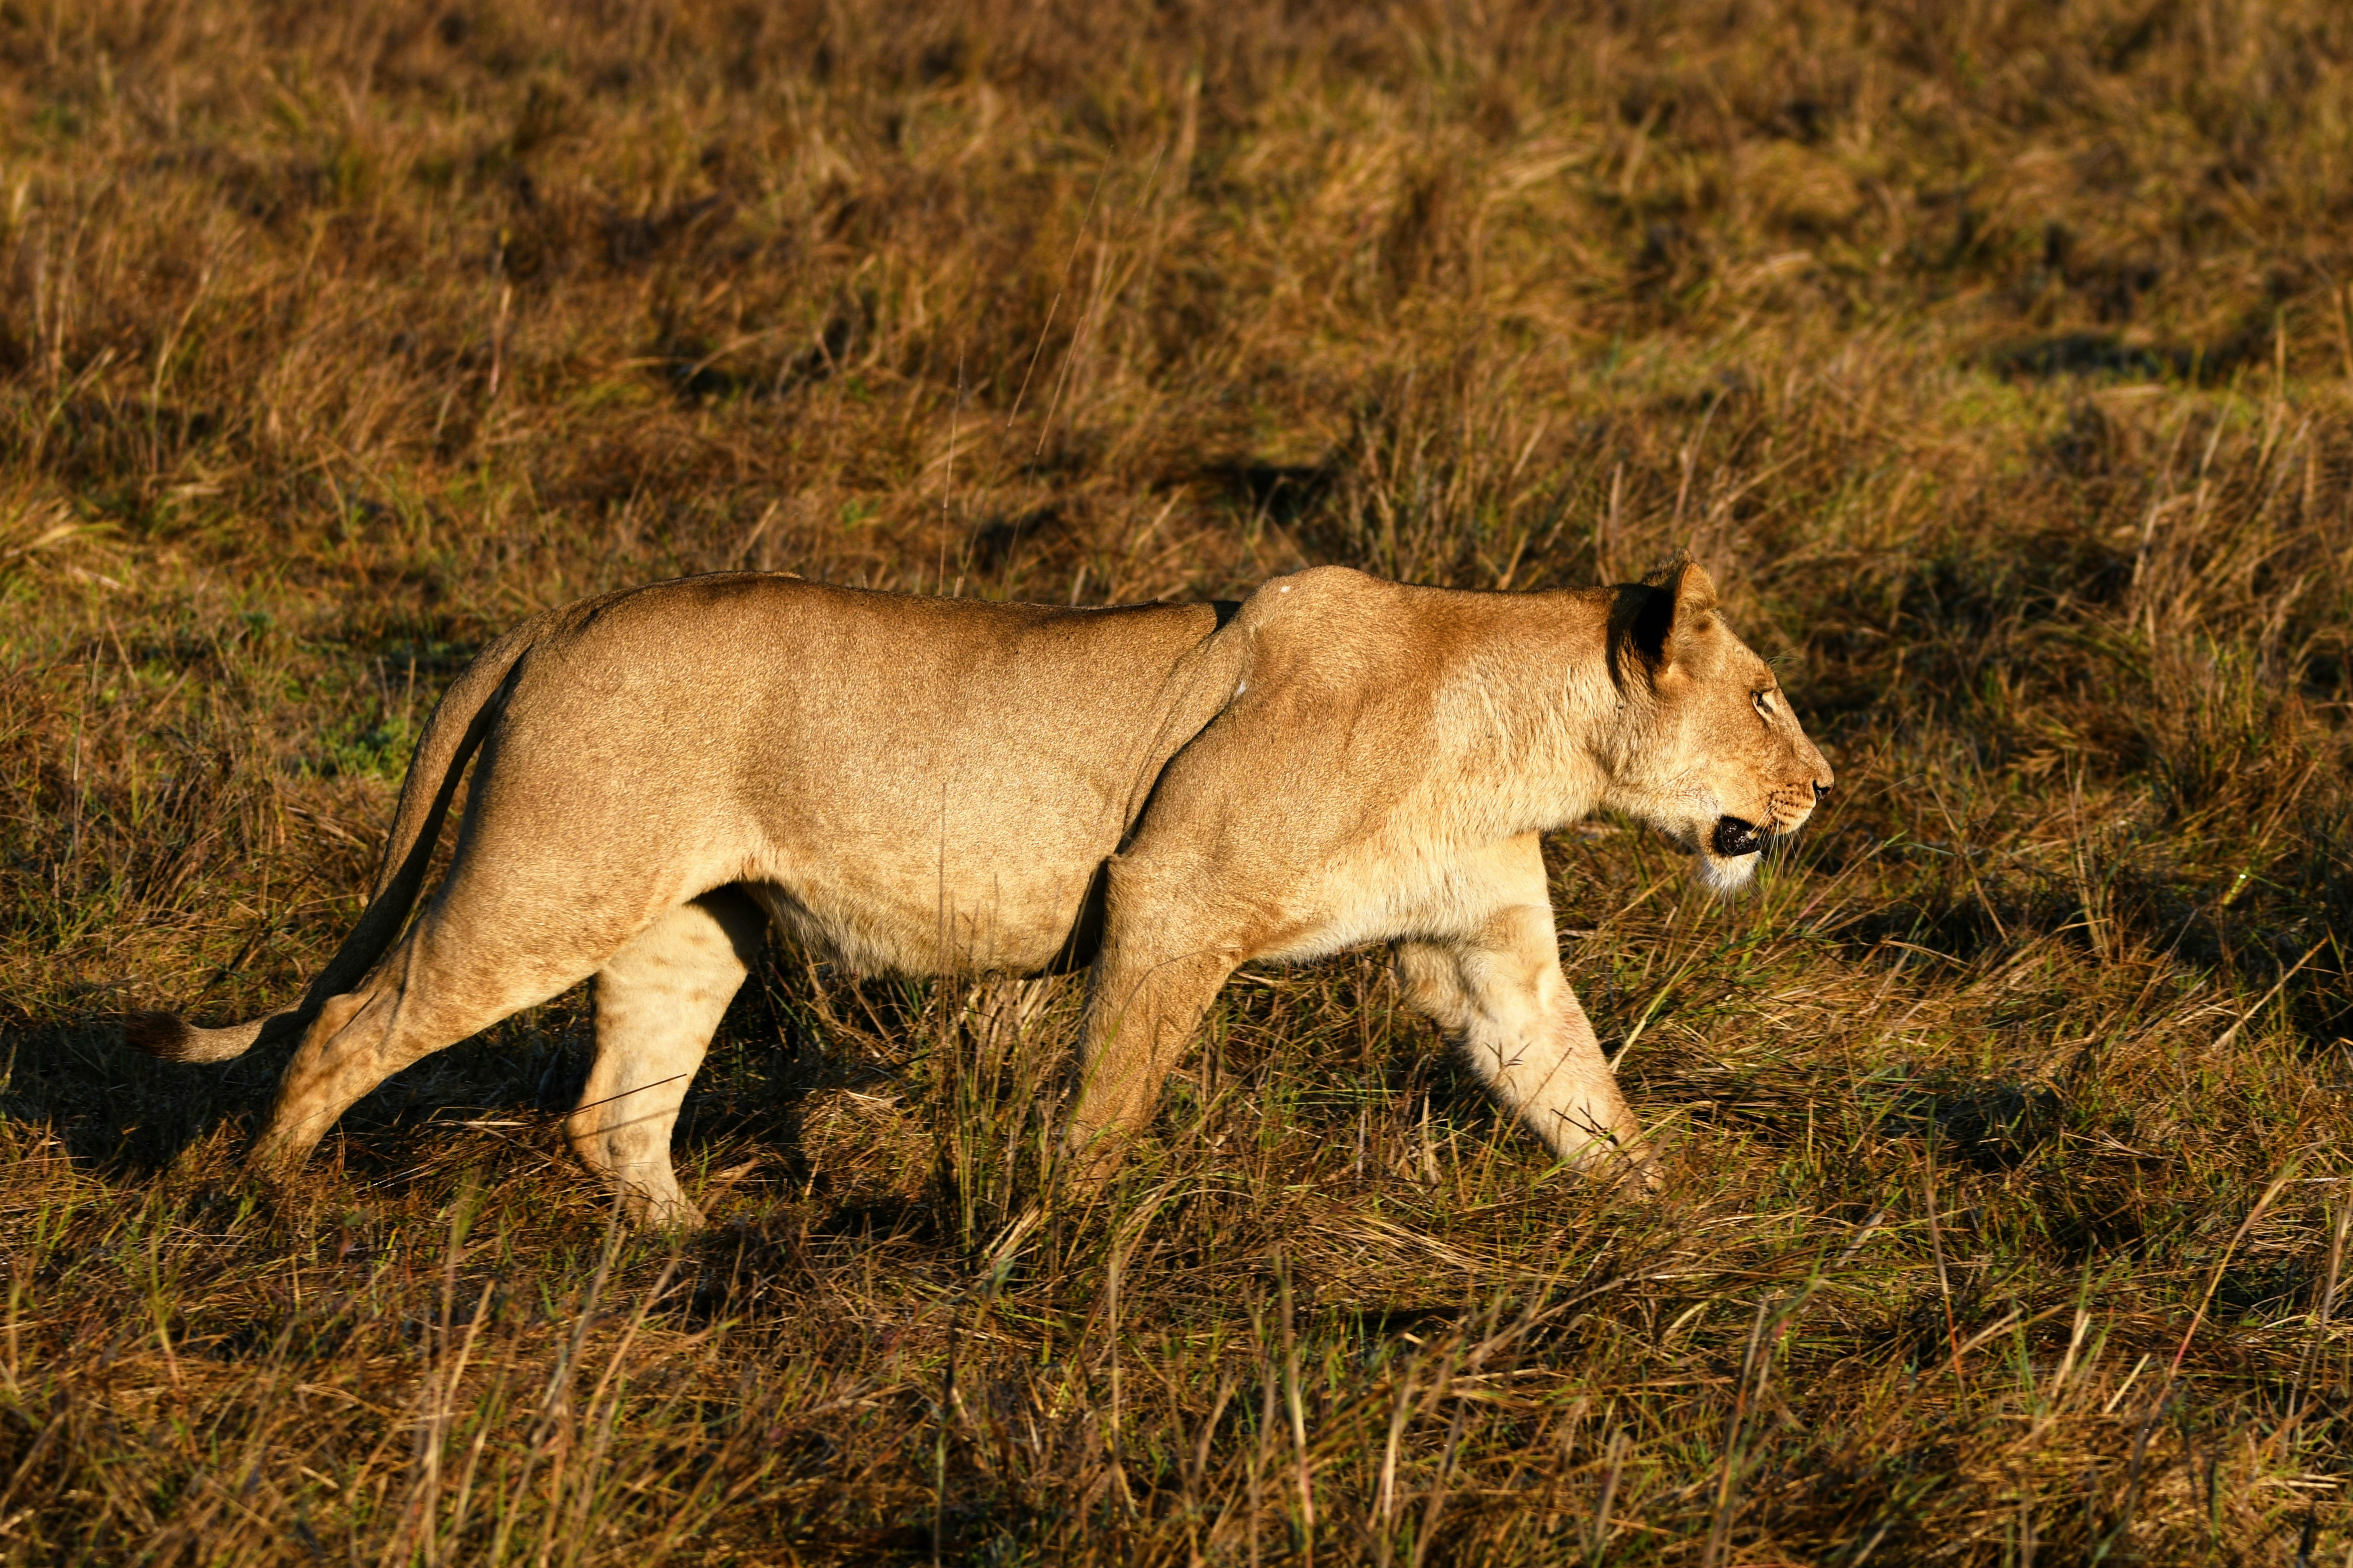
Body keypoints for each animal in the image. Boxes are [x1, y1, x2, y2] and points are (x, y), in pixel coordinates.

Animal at [124, 560, 1832, 1225]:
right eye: (1762, 695)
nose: (1825, 787)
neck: (1510, 737)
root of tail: (561, 618)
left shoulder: (1480, 953)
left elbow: (1581, 1094)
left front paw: (1675, 1230)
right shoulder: (1168, 894)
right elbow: (1115, 1098)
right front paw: (1068, 1244)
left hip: (688, 928)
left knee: (614, 1110)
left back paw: (696, 1246)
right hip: (549, 877)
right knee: (350, 1019)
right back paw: (267, 1193)